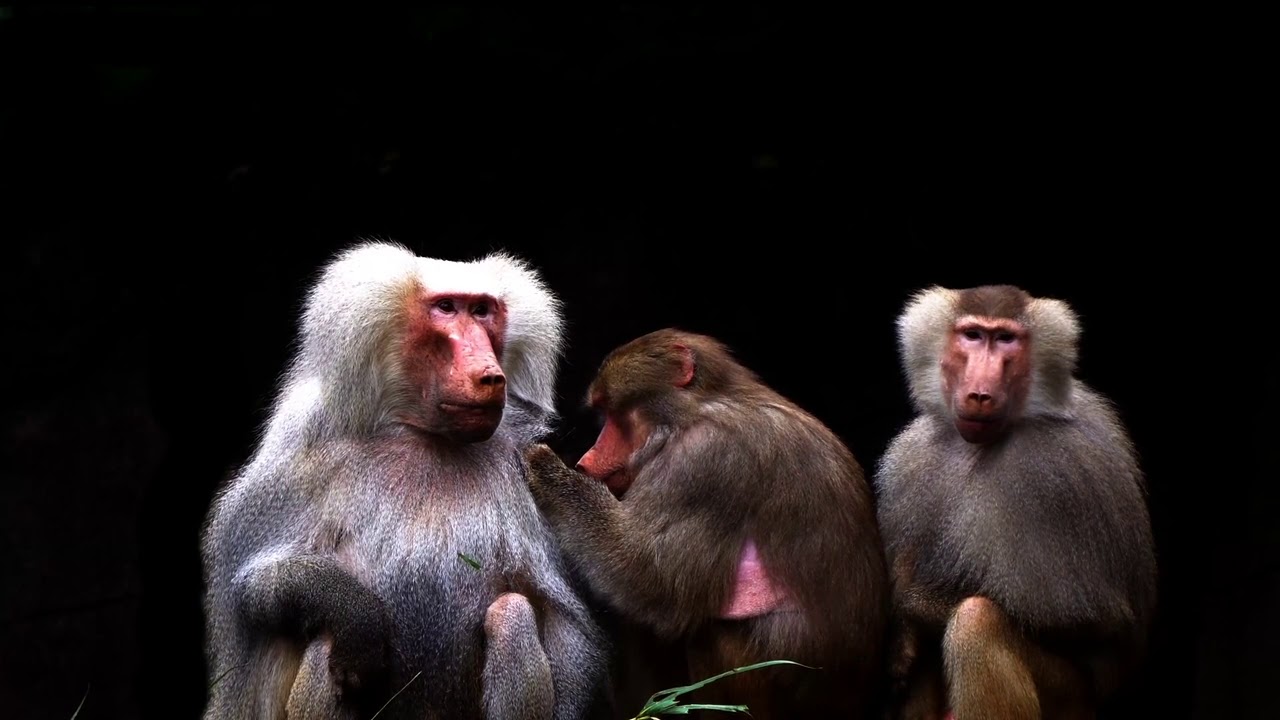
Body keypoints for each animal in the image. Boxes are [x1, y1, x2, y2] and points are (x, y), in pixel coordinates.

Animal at [199, 241, 611, 720]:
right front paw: (354, 613)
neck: (425, 435)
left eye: (483, 311)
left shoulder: (530, 461)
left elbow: (569, 627)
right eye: (446, 308)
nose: (489, 375)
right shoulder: (299, 454)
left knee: (512, 616)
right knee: (327, 638)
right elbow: (251, 591)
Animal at [522, 328, 891, 720]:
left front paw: (549, 472)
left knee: (710, 634)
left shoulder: (702, 462)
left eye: (612, 413)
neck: (700, 408)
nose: (586, 458)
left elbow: (651, 579)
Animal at [873, 284, 1158, 720]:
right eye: (973, 336)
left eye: (1006, 339)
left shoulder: (1050, 474)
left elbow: (1081, 618)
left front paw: (905, 612)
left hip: (1071, 703)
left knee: (978, 621)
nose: (979, 394)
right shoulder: (910, 458)